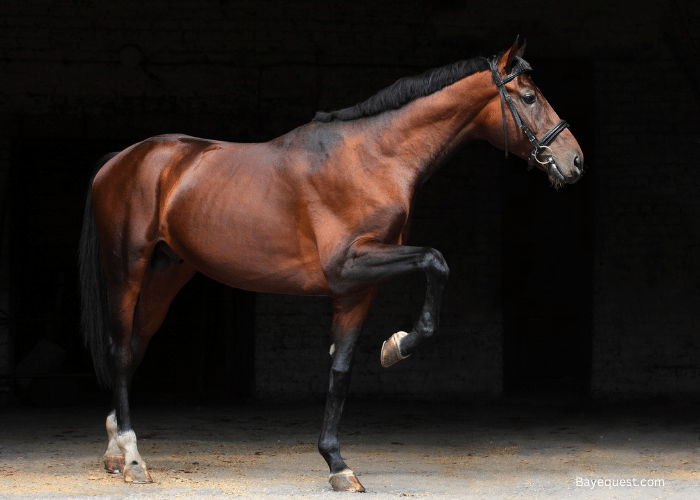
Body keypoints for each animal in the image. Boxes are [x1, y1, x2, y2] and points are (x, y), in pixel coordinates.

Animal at [78, 37, 583, 492]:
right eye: (529, 97)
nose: (574, 160)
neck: (374, 158)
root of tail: (120, 160)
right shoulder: (350, 266)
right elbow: (436, 261)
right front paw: (398, 346)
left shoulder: (357, 287)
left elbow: (340, 370)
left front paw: (338, 463)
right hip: (127, 271)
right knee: (120, 350)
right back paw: (134, 458)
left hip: (166, 277)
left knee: (134, 348)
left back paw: (115, 452)